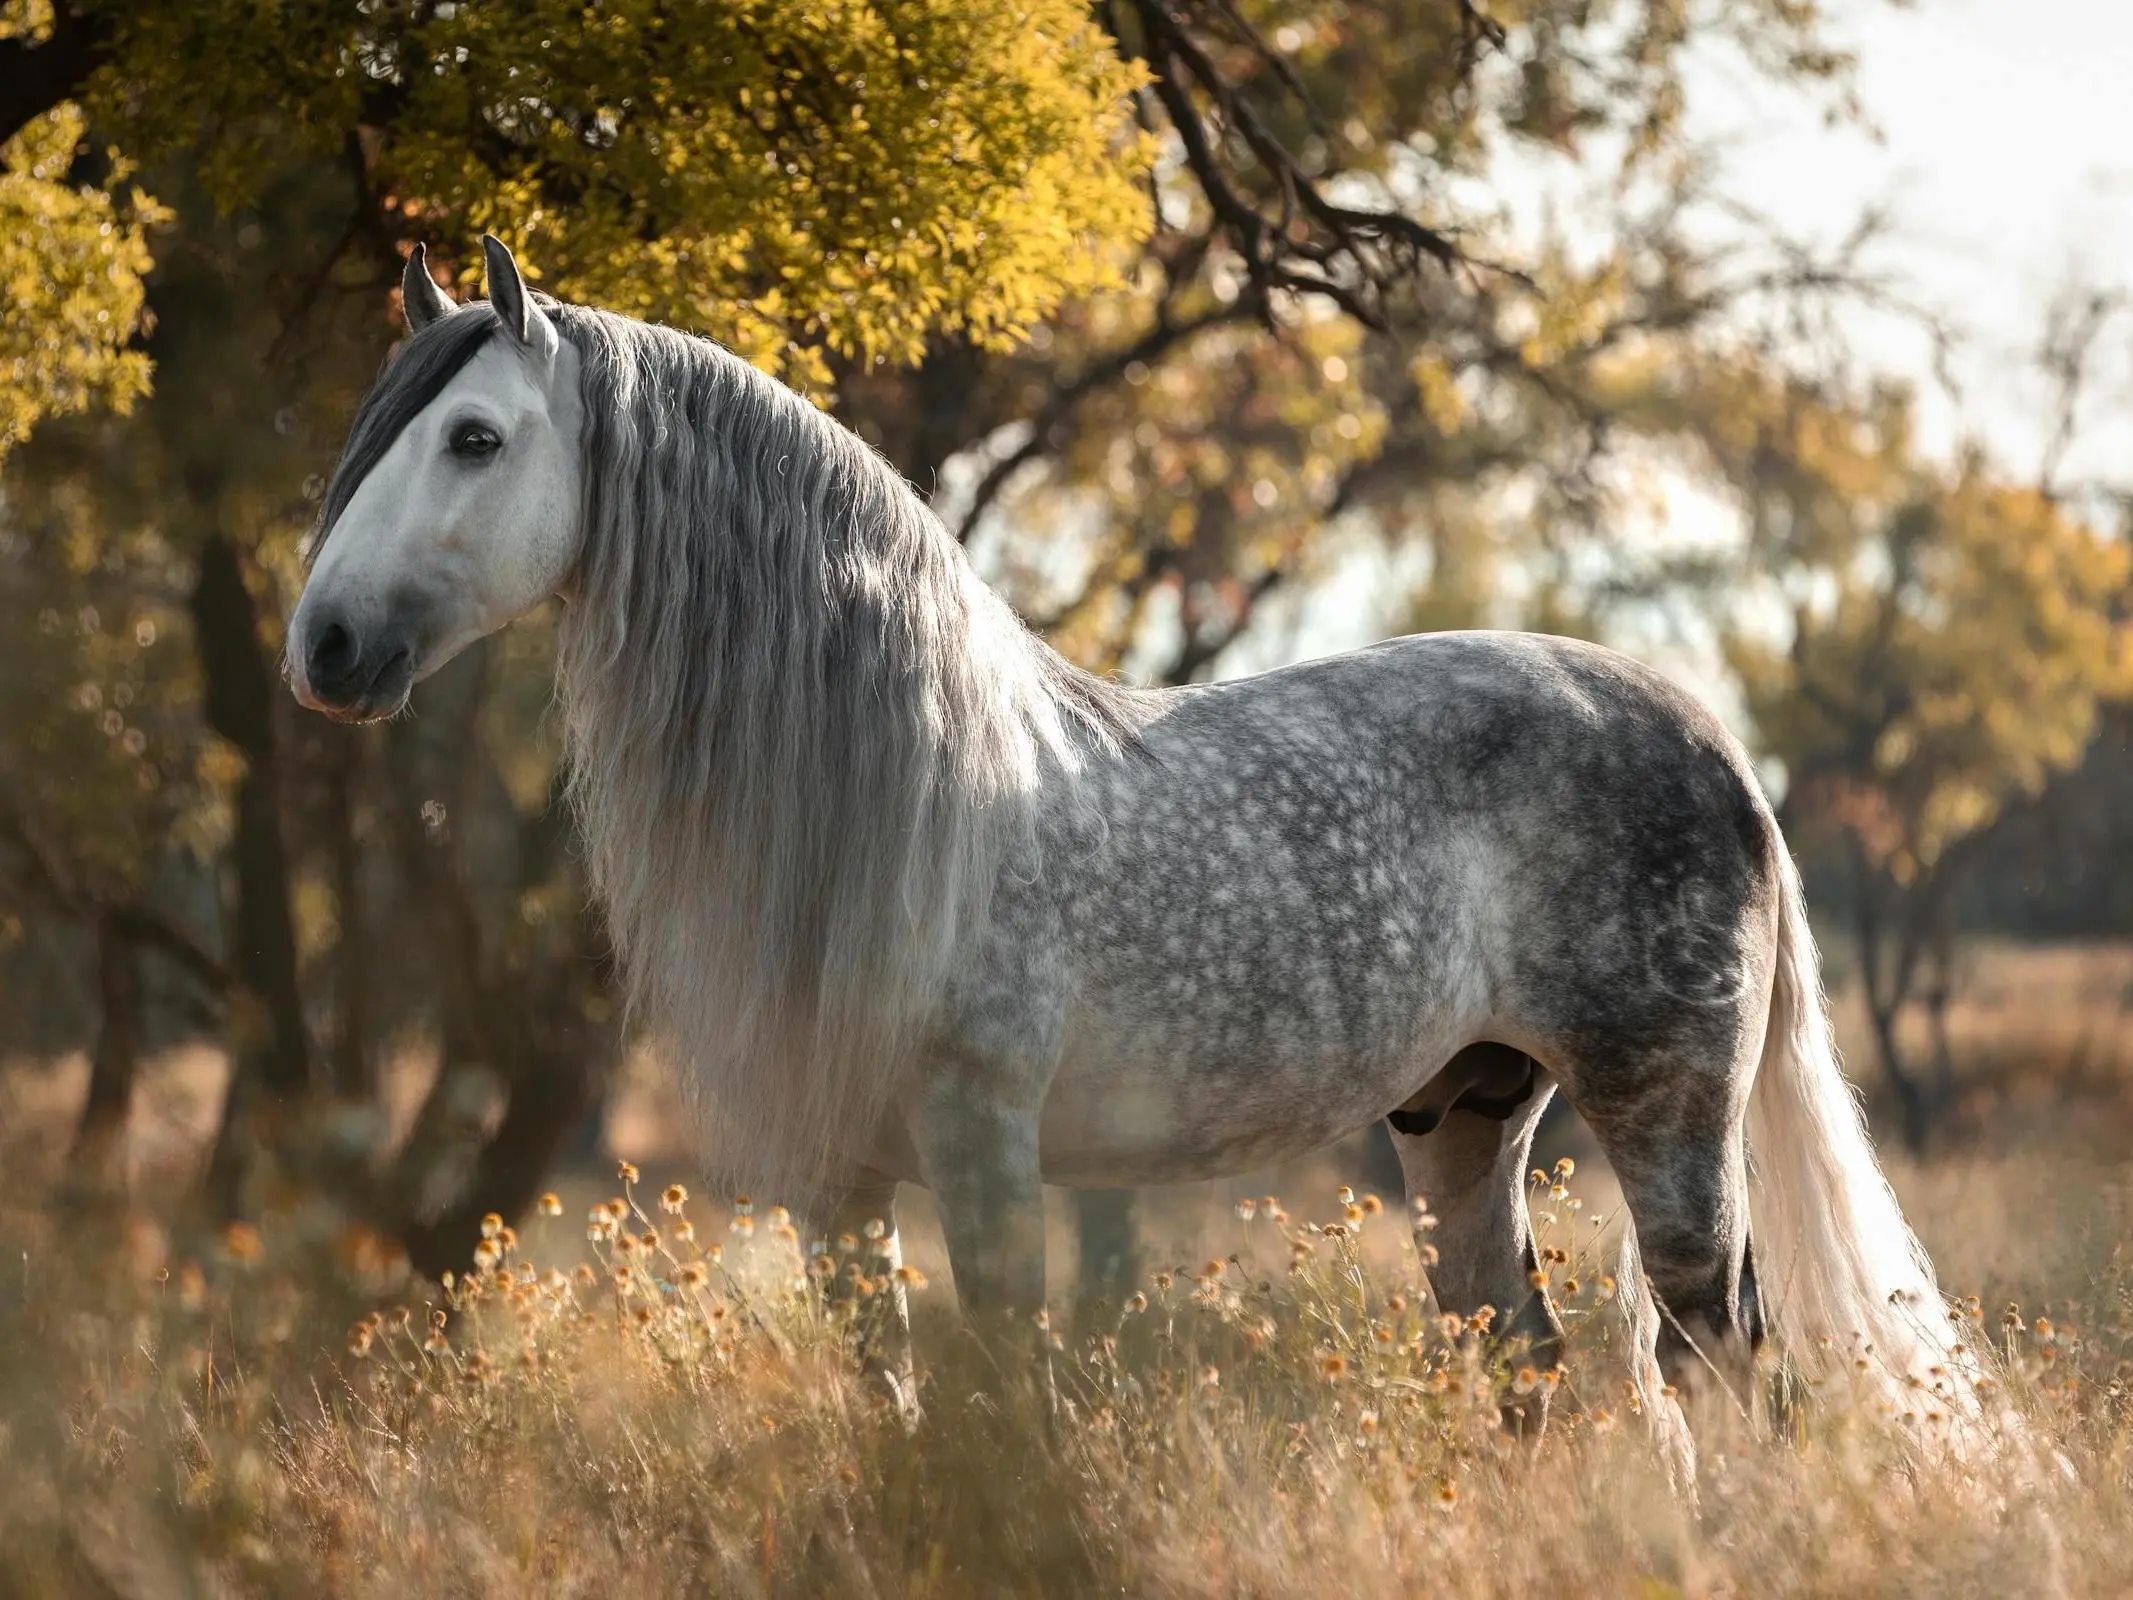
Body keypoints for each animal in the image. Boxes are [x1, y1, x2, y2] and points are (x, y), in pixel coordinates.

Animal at [286, 237, 1975, 1463]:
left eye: (476, 438)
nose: (324, 646)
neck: (907, 794)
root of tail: (1708, 738)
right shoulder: (837, 1184)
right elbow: (896, 1412)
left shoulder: (982, 1149)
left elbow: (1005, 1407)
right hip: (1466, 1119)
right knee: (1532, 1368)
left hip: (1665, 1121)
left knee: (1724, 1369)